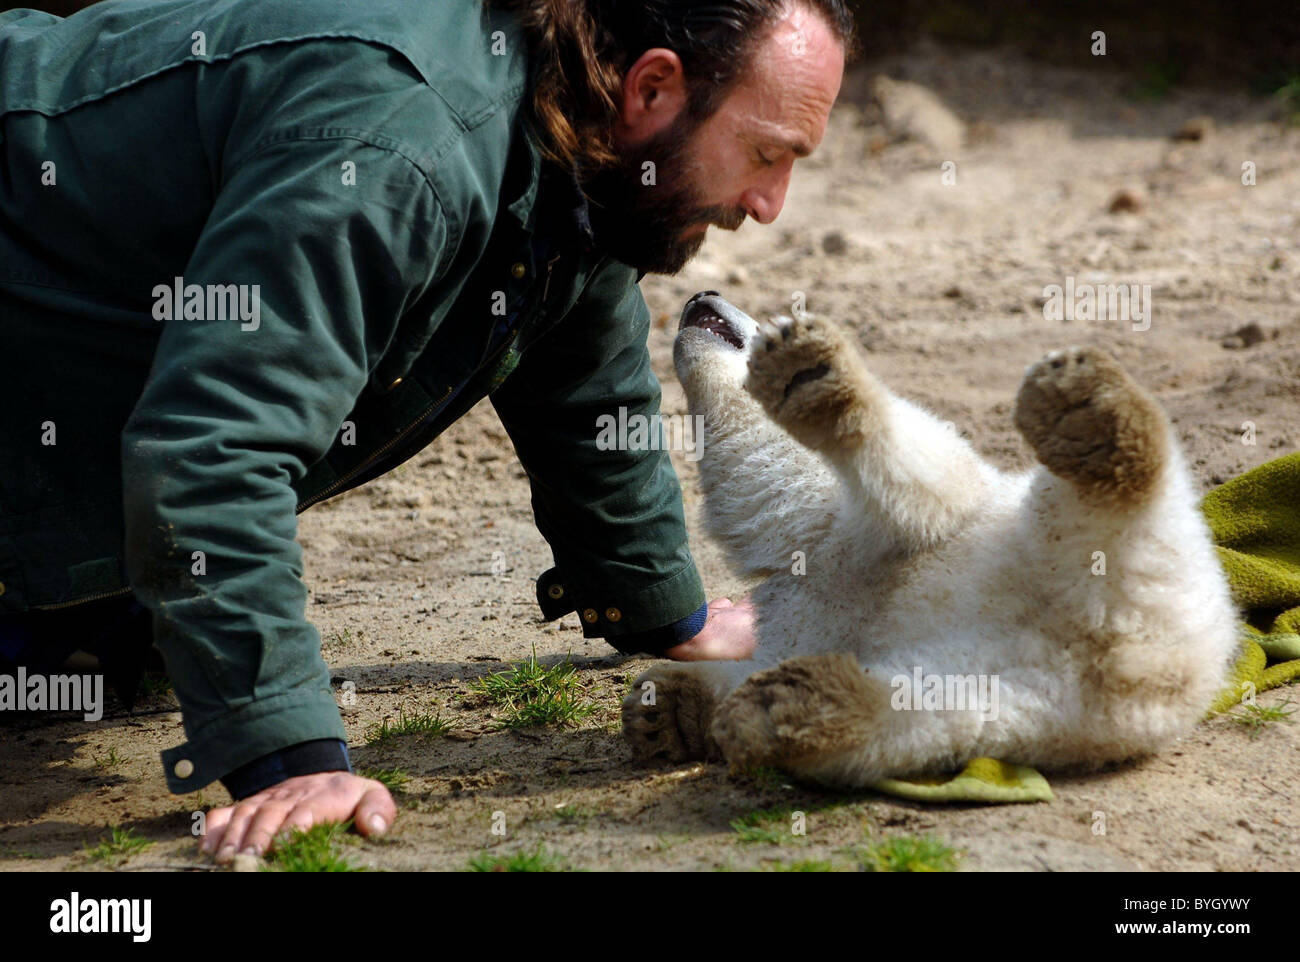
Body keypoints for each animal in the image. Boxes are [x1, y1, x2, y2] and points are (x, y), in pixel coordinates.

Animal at [622, 291, 1240, 788]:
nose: (699, 293)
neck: (804, 540)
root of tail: (1140, 660)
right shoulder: (800, 615)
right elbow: (760, 664)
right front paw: (664, 707)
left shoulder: (895, 515)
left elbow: (927, 477)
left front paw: (810, 373)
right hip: (1020, 699)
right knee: (926, 713)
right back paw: (791, 706)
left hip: (1085, 539)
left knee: (1122, 504)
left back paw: (1088, 415)